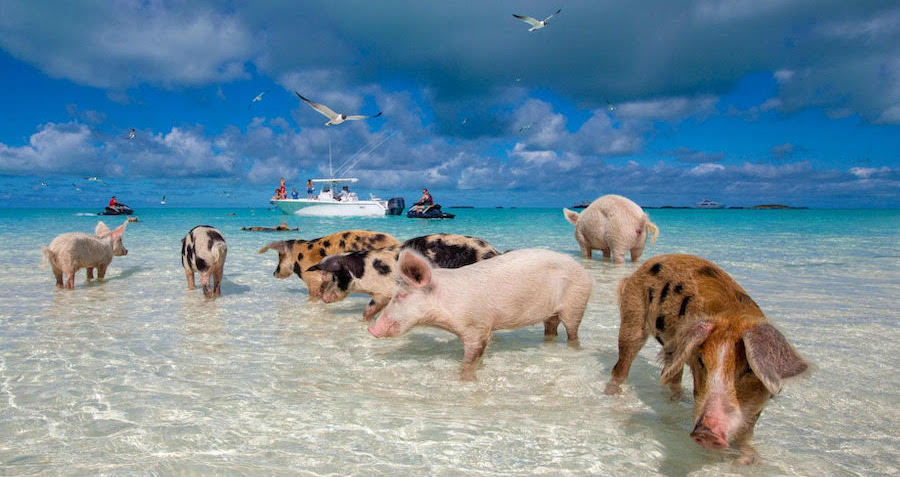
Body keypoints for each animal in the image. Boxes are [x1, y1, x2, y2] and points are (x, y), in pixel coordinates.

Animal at [308, 233, 499, 320]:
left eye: (335, 277)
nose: (324, 298)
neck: (364, 270)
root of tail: (494, 252)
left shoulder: (383, 292)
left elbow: (370, 308)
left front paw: (364, 321)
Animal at [368, 248, 593, 381]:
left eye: (401, 295)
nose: (372, 329)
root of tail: (580, 268)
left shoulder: (477, 326)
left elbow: (470, 360)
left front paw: (467, 381)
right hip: (552, 313)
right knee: (551, 328)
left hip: (576, 302)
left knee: (572, 332)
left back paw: (574, 349)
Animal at [604, 254, 810, 464]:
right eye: (702, 362)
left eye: (749, 369)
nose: (706, 434)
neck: (733, 316)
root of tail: (636, 272)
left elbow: (748, 430)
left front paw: (748, 460)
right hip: (633, 316)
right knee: (622, 365)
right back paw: (612, 395)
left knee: (672, 375)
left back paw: (678, 400)